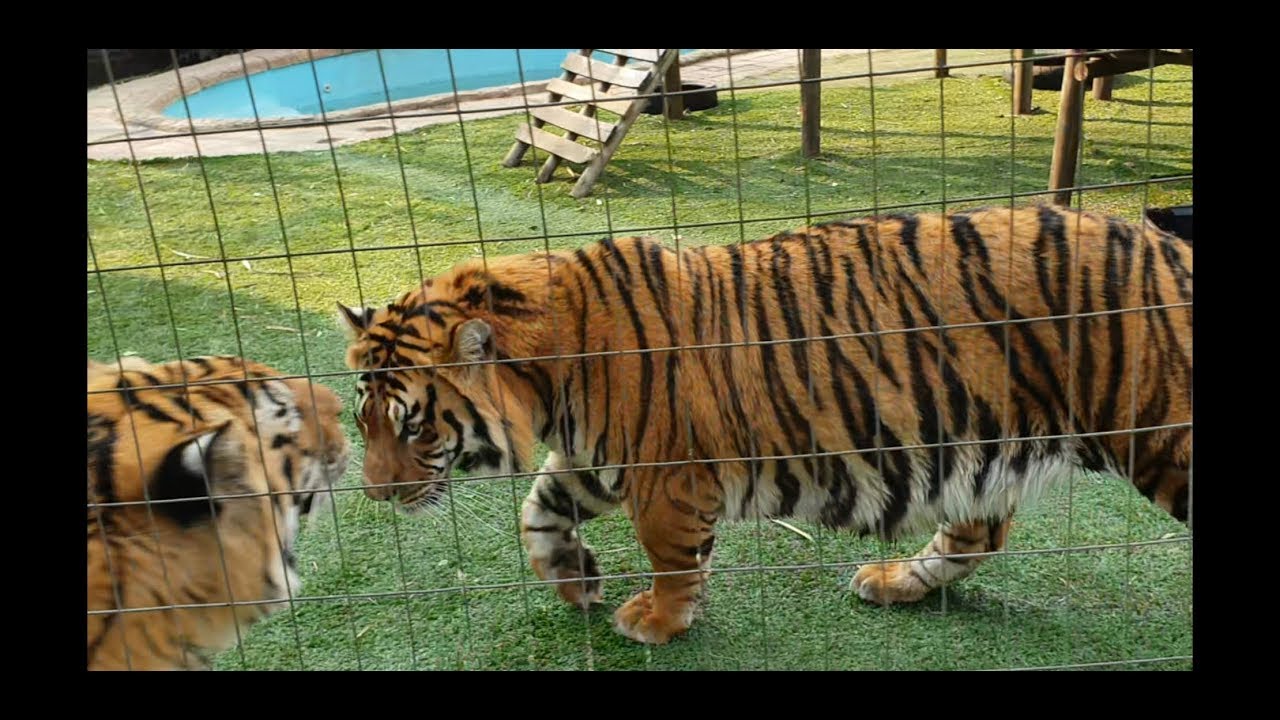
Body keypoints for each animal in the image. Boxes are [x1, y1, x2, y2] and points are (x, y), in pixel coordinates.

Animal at [337, 203, 1191, 645]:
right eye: (363, 422)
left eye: (413, 428)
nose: (375, 495)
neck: (548, 371)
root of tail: (1168, 242)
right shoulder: (595, 457)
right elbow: (537, 513)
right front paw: (575, 579)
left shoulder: (666, 475)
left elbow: (669, 556)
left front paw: (657, 619)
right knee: (976, 535)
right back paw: (894, 583)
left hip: (1164, 438)